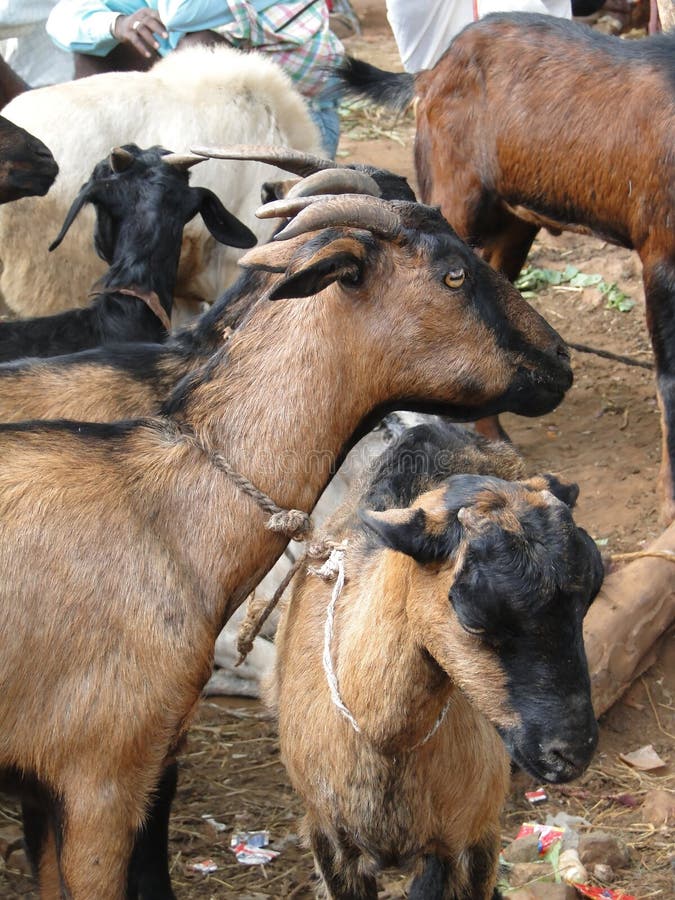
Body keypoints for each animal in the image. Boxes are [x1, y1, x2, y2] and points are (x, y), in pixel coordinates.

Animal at [272, 421, 603, 899]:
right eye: (473, 618)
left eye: (589, 598)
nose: (572, 752)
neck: (388, 742)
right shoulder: (330, 841)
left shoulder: (472, 839)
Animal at [337, 14, 675, 522]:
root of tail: (432, 71)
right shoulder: (660, 254)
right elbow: (669, 380)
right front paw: (671, 500)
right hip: (454, 195)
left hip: (514, 218)